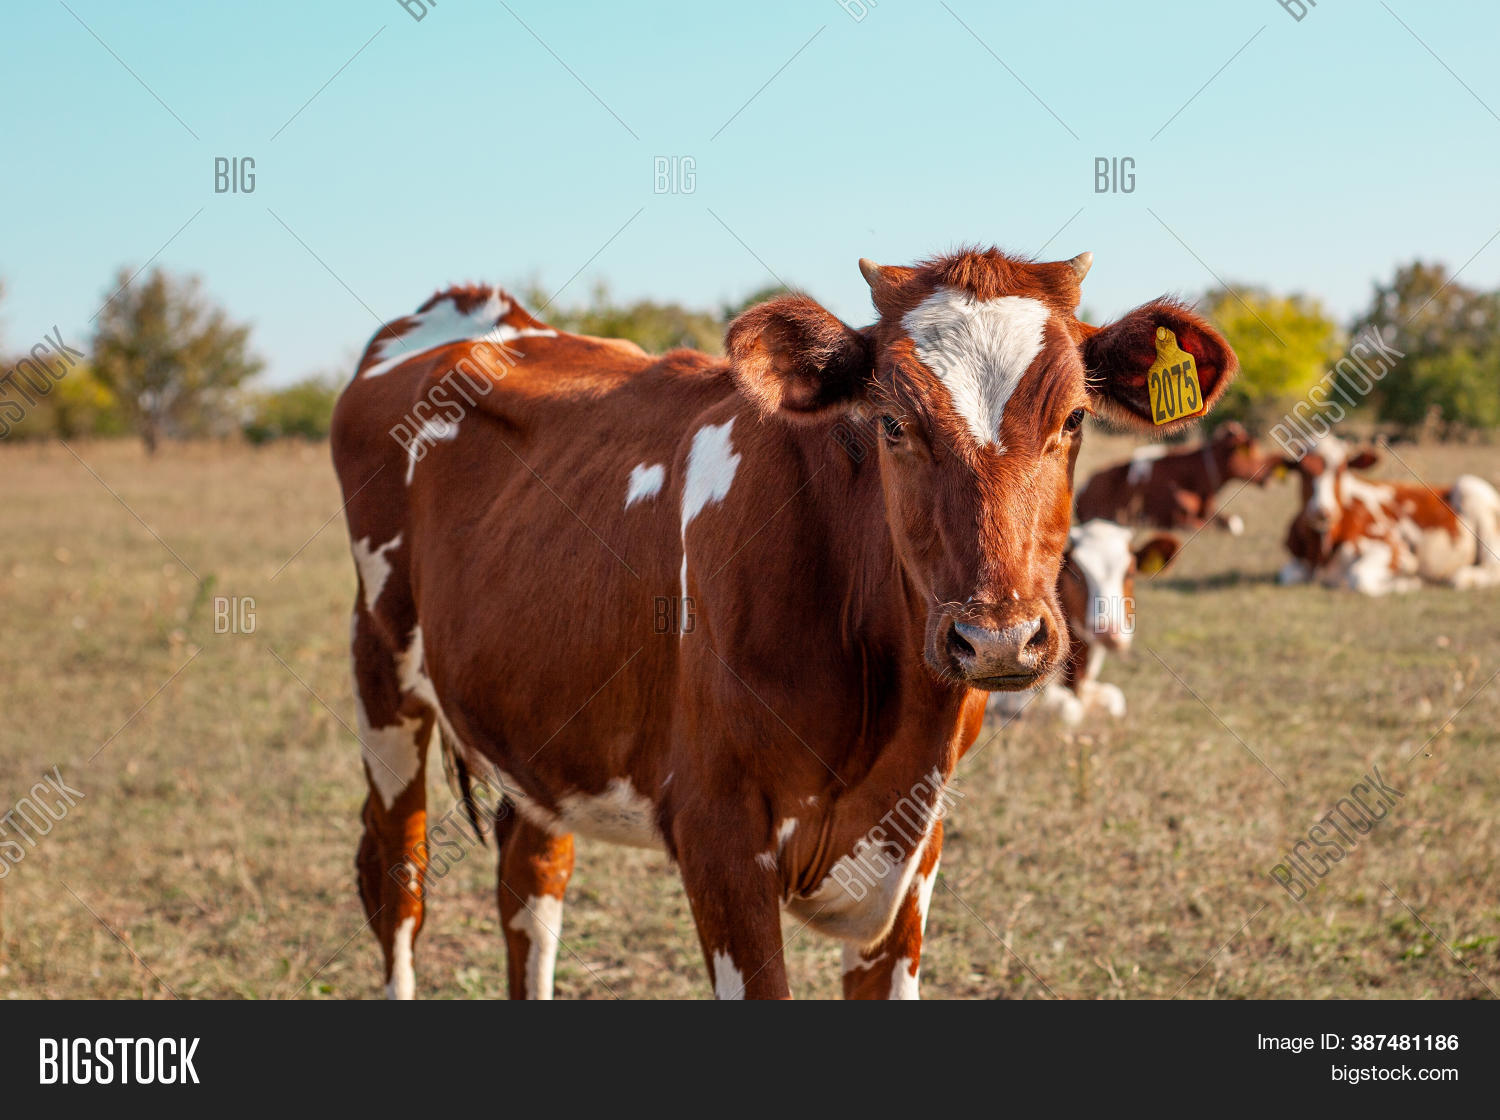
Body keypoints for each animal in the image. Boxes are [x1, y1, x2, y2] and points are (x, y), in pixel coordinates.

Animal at [1074, 421, 1272, 535]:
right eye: (1250, 449)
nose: (1267, 474)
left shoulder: (1210, 511)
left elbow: (1234, 523)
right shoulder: (1177, 519)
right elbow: (1204, 527)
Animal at [1277, 433, 1500, 595]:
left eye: (1340, 469)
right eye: (1302, 470)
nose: (1321, 511)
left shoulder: (1395, 549)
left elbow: (1358, 577)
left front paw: (1407, 583)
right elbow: (1287, 575)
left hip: (1471, 489)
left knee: (1490, 569)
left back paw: (1460, 576)